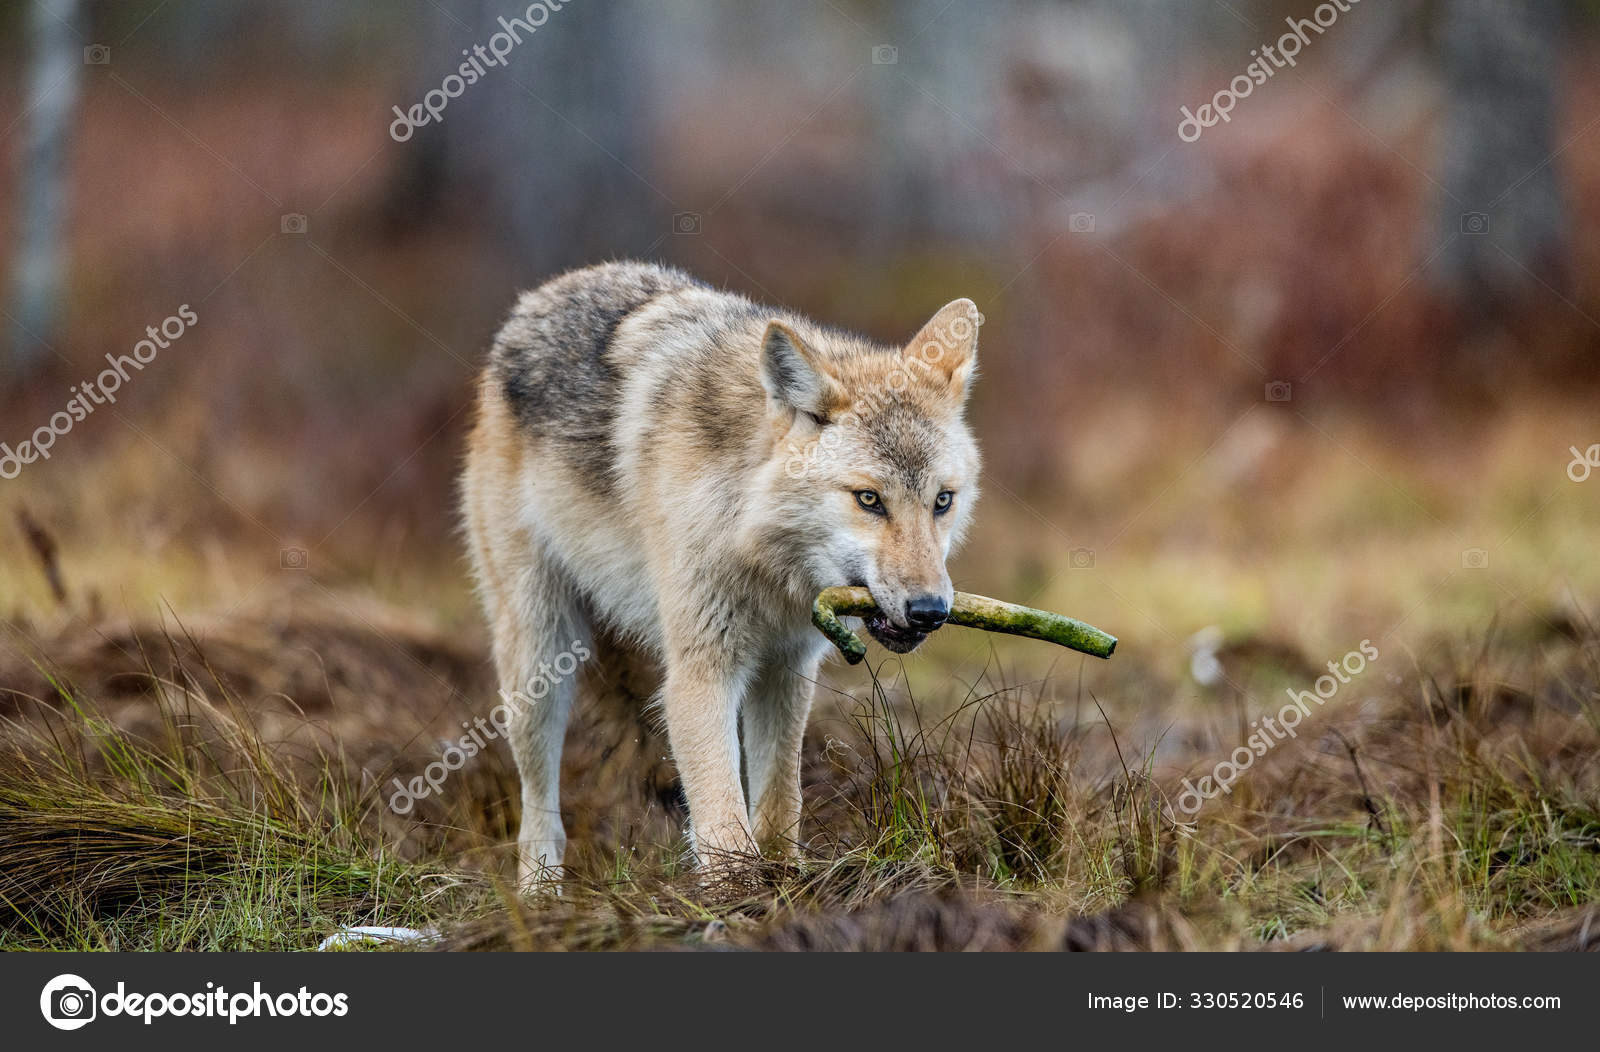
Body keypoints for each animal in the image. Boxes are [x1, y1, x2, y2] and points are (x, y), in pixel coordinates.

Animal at [461, 261, 981, 885]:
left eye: (942, 501)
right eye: (869, 500)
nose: (930, 612)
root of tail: (538, 298)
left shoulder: (787, 668)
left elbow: (780, 804)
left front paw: (785, 880)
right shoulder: (700, 674)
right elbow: (724, 823)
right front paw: (739, 897)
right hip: (540, 659)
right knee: (539, 807)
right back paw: (539, 892)